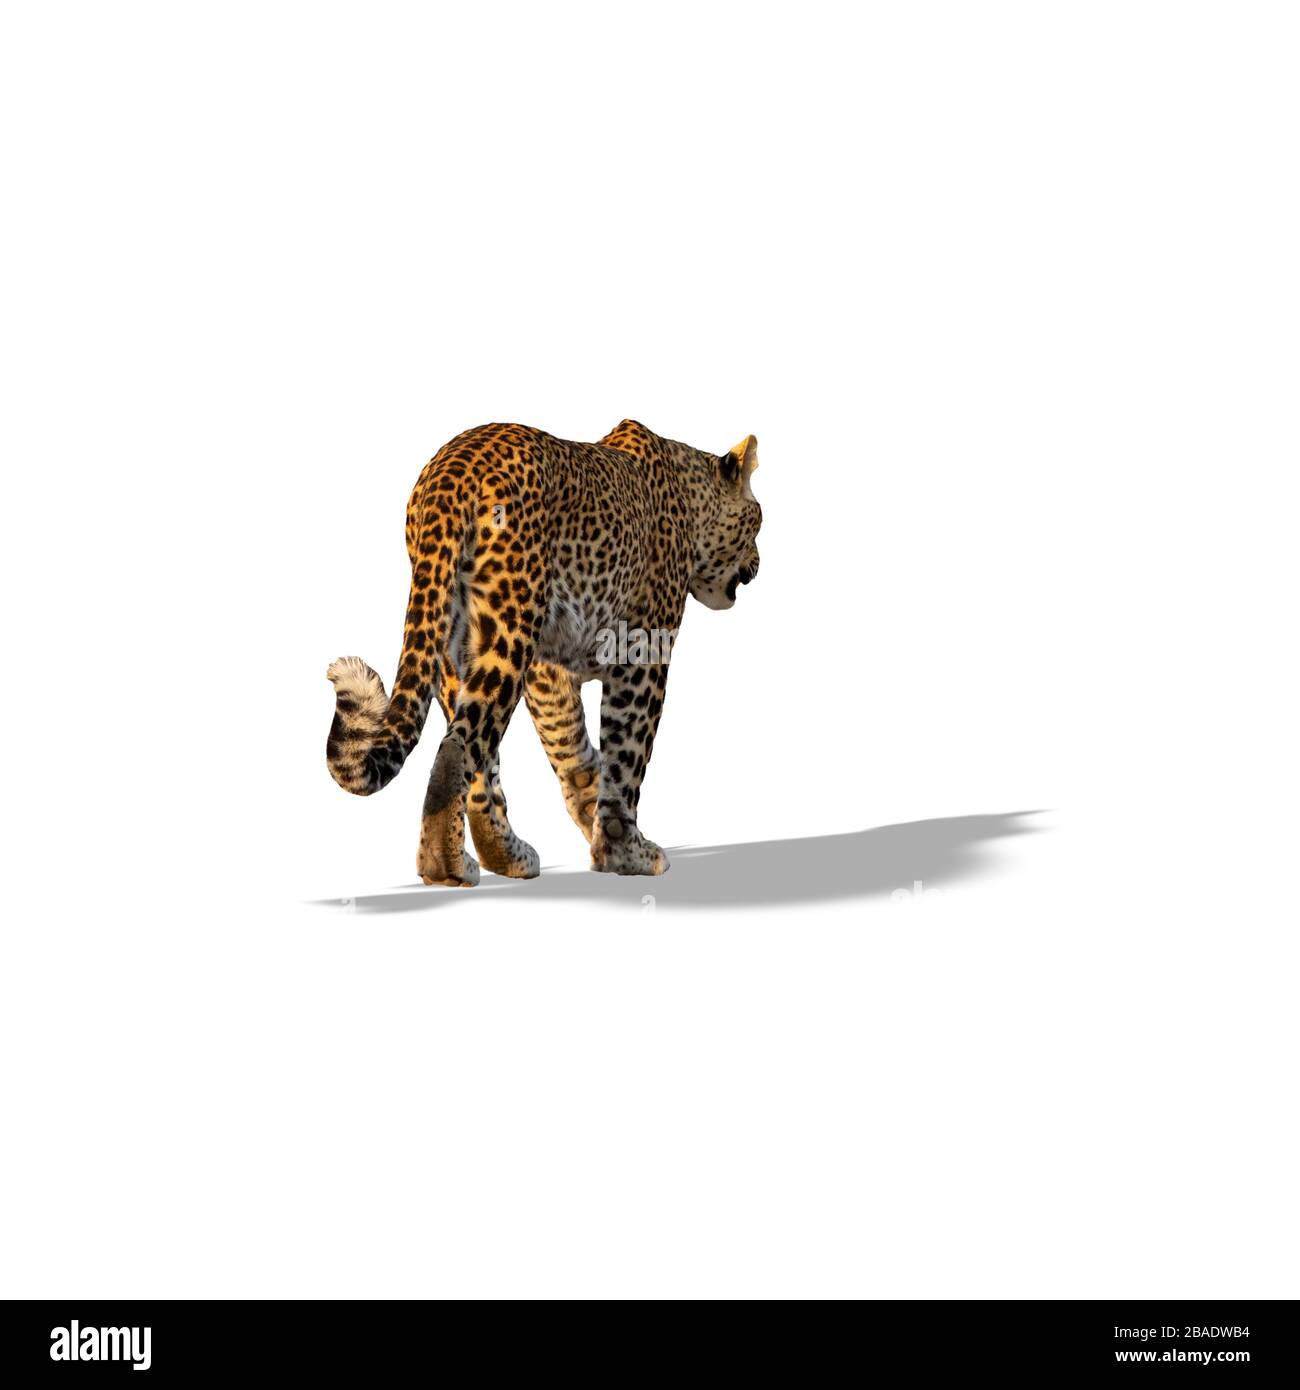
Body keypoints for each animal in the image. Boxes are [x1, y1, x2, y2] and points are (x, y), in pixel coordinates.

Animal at [325, 419, 762, 885]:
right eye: (758, 524)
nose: (758, 562)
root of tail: (453, 468)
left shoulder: (549, 666)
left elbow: (569, 741)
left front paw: (594, 813)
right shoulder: (643, 648)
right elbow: (627, 749)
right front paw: (625, 851)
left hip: (453, 640)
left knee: (478, 756)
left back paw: (503, 854)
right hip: (510, 626)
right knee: (460, 744)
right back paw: (446, 865)